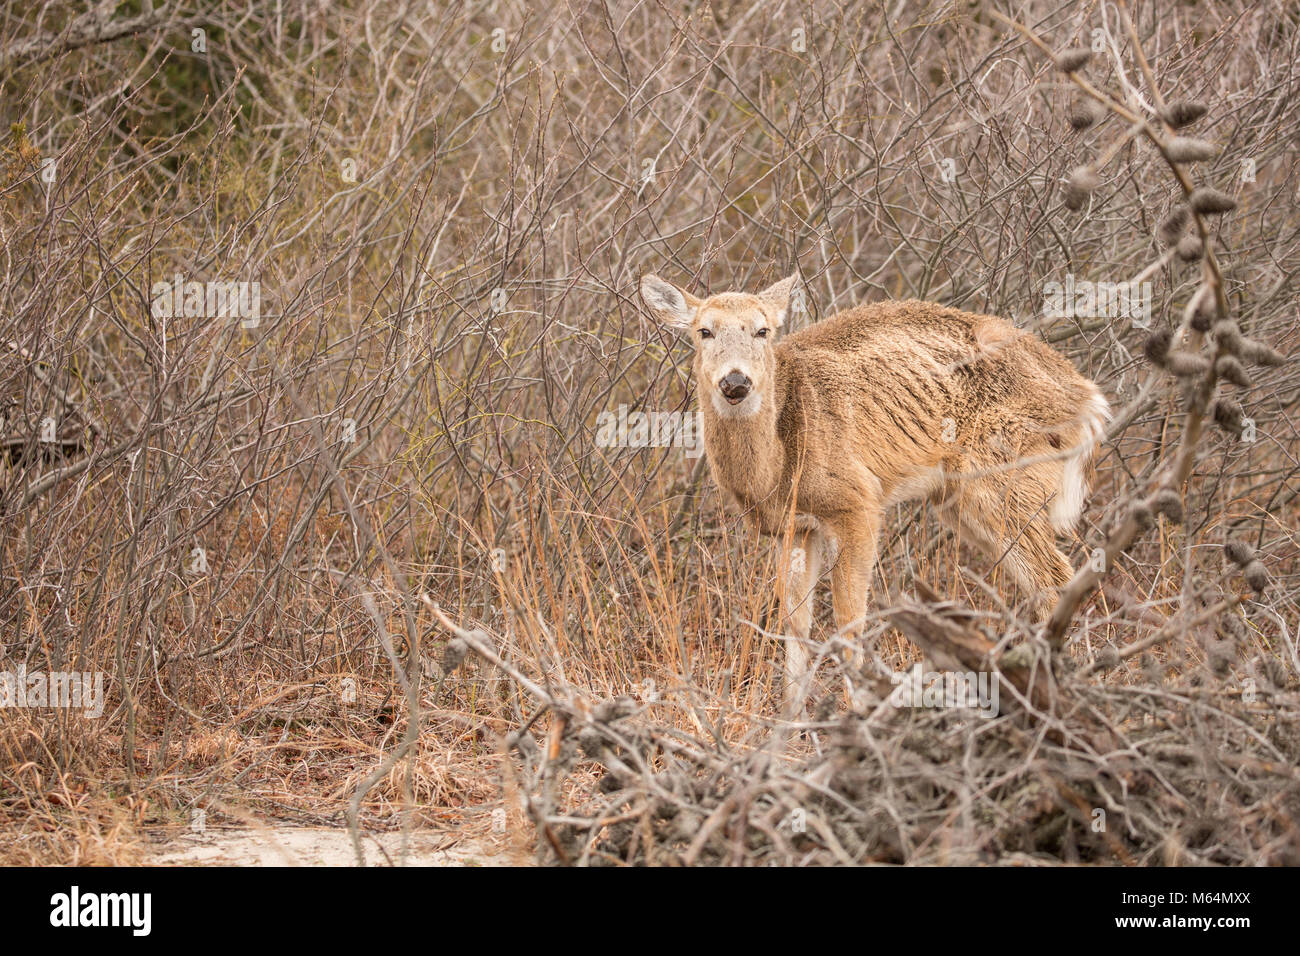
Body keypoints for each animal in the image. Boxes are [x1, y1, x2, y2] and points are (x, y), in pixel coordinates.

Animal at [638, 272, 1111, 717]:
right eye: (704, 331)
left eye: (762, 330)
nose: (736, 382)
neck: (780, 459)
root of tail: (1090, 398)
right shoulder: (795, 528)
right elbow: (795, 623)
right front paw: (789, 720)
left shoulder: (858, 503)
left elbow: (849, 621)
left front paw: (857, 712)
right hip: (960, 502)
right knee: (1045, 582)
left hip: (1003, 480)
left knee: (1056, 578)